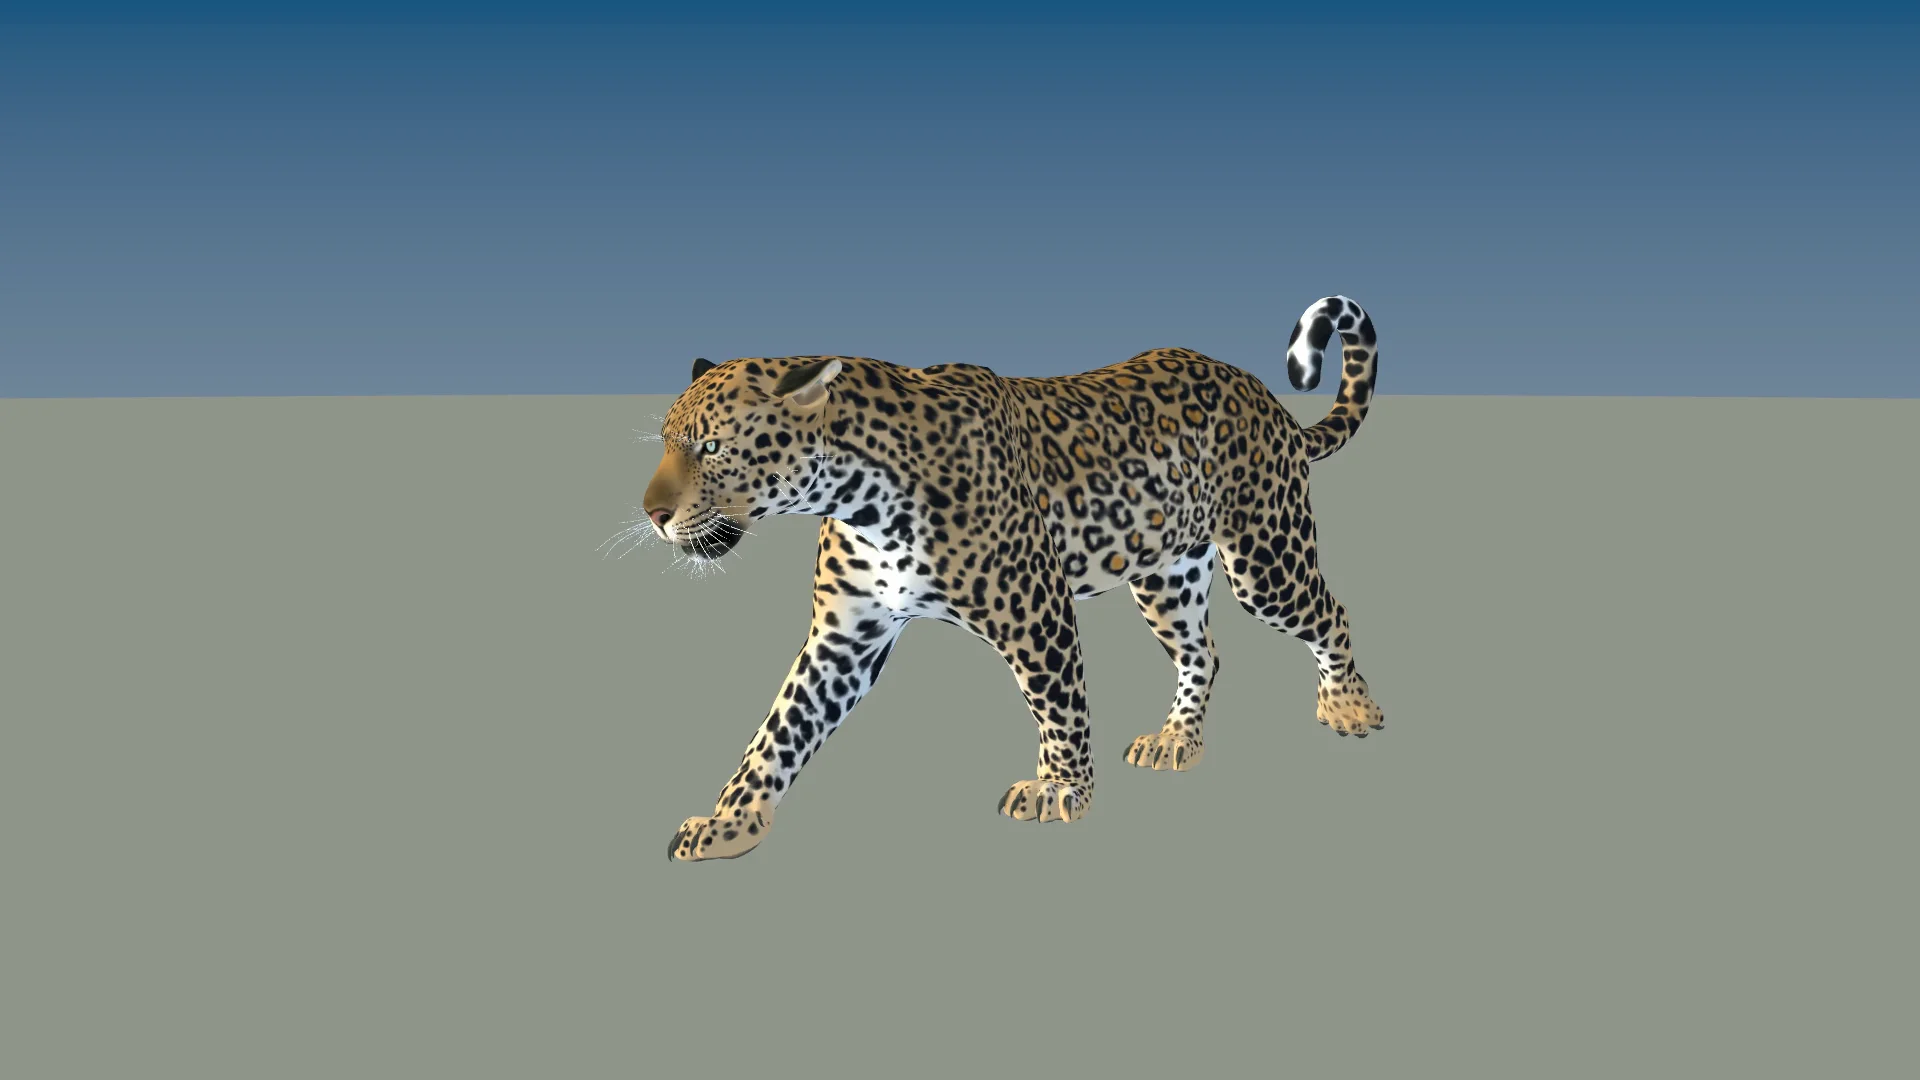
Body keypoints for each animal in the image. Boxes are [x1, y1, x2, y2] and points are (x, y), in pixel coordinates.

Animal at [639, 295, 1386, 862]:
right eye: (669, 443)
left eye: (713, 447)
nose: (652, 514)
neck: (860, 497)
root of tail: (1268, 400)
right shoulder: (844, 636)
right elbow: (779, 731)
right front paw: (729, 823)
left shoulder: (1036, 610)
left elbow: (1060, 706)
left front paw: (1061, 790)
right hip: (1166, 574)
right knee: (1204, 651)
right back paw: (1177, 739)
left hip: (1266, 559)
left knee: (1332, 614)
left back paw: (1350, 707)